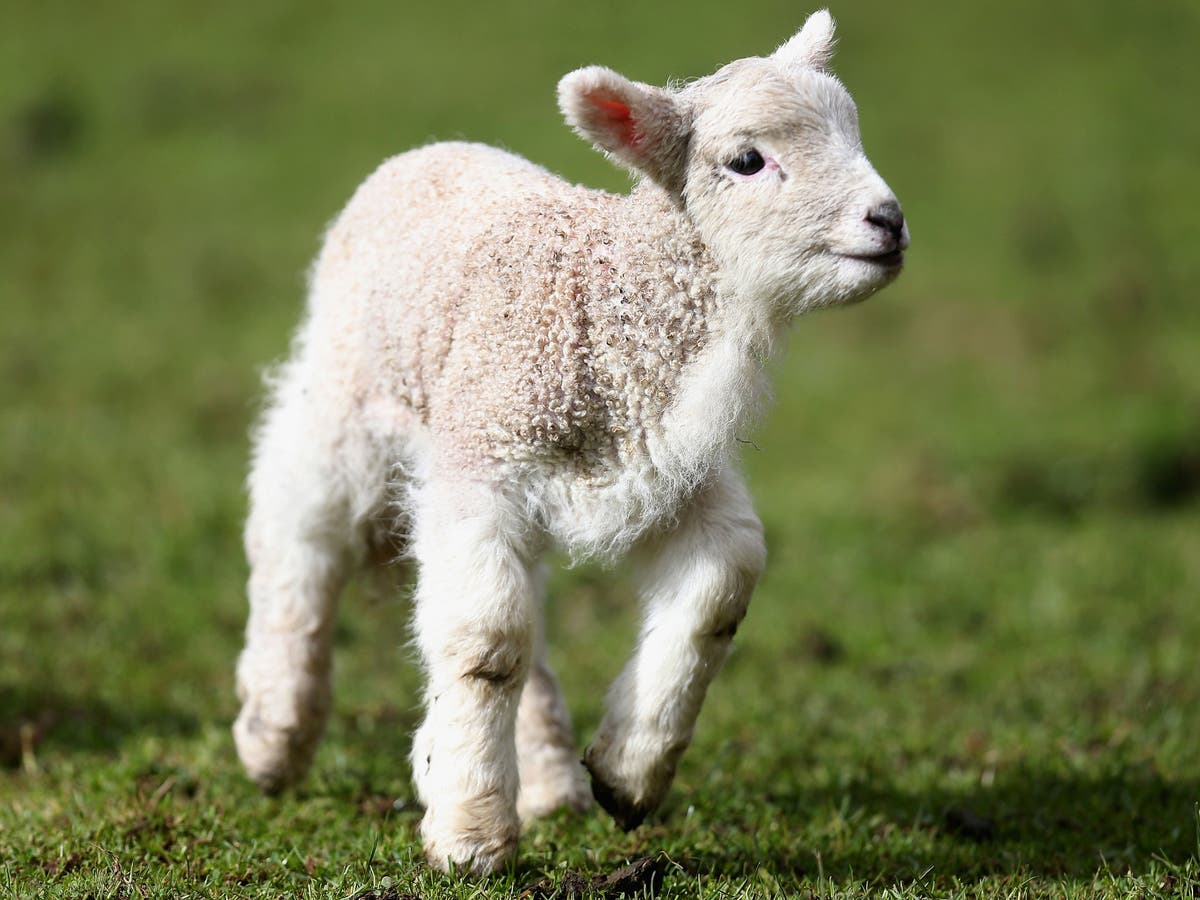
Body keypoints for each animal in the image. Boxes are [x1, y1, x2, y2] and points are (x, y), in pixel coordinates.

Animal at [232, 8, 908, 875]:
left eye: (852, 129)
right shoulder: (480, 462)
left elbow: (719, 592)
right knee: (296, 535)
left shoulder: (674, 472)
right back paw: (275, 732)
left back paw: (552, 779)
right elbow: (486, 642)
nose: (889, 221)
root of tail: (431, 150)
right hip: (341, 402)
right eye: (747, 160)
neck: (609, 306)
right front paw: (470, 833)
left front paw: (627, 773)